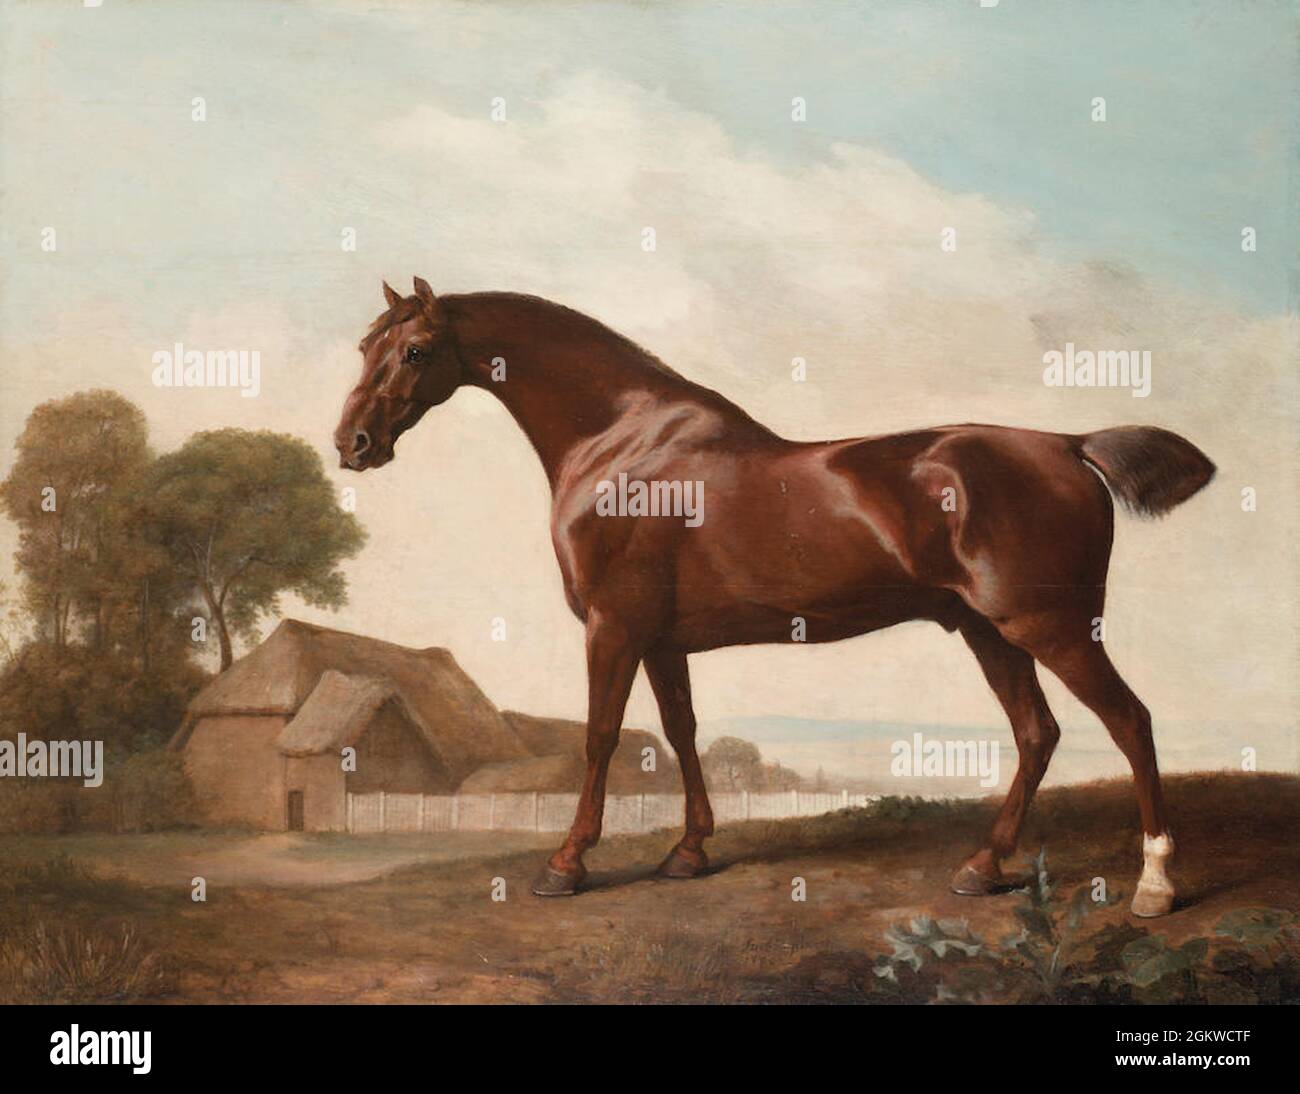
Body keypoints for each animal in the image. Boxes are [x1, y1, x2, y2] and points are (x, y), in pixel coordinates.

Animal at [334, 278, 1215, 917]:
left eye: (416, 350)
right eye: (365, 344)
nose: (353, 444)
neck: (623, 442)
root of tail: (1069, 445)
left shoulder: (613, 628)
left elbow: (600, 738)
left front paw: (566, 864)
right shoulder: (662, 638)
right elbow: (681, 733)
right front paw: (689, 852)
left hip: (1049, 626)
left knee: (1129, 722)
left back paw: (1153, 886)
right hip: (989, 630)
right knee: (1038, 734)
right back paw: (979, 866)